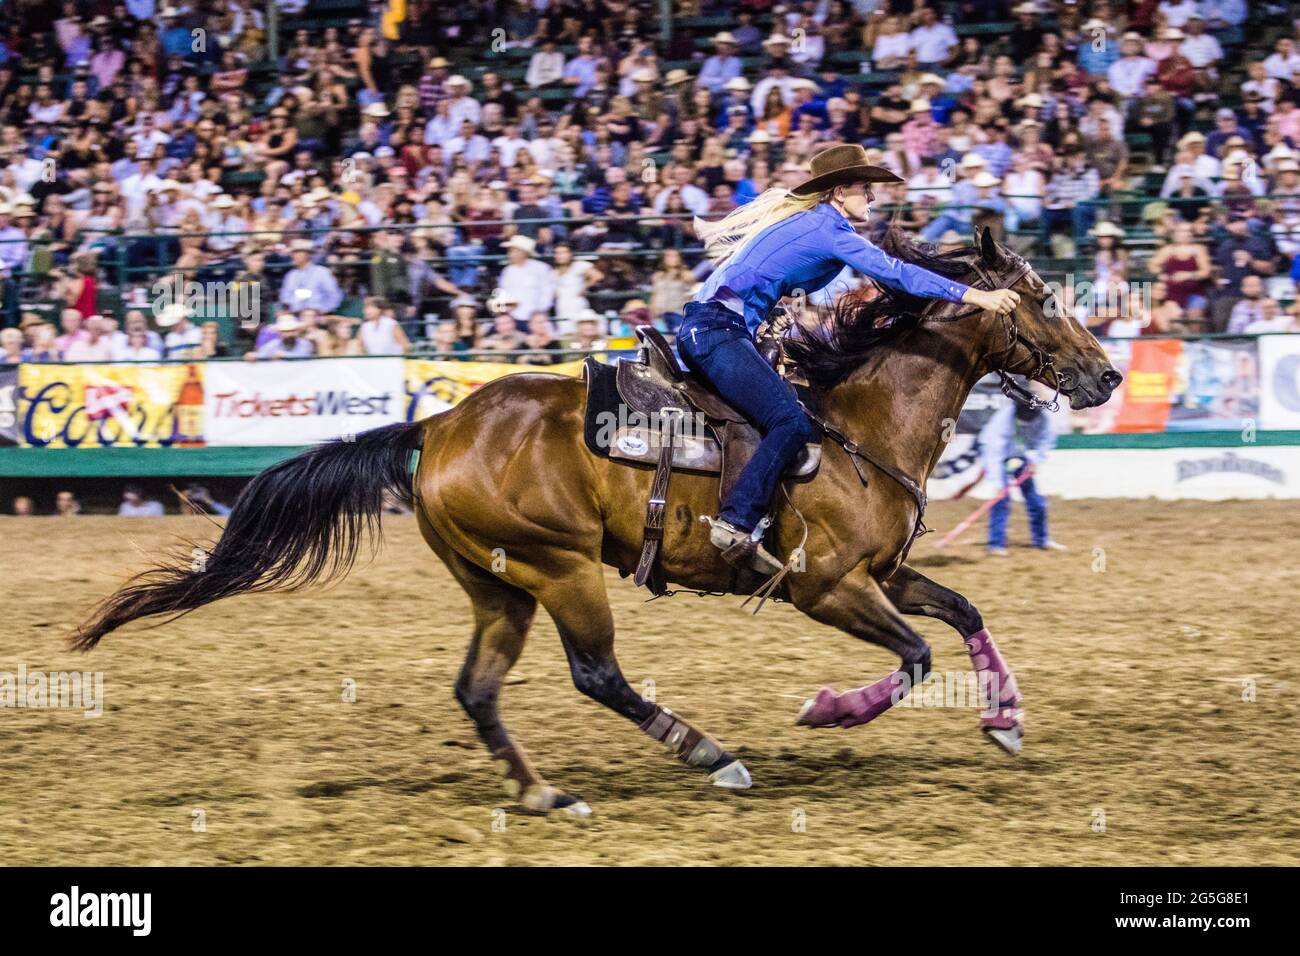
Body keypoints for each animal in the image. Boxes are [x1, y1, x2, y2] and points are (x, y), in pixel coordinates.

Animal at [71, 227, 1122, 817]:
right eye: (1040, 299)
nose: (1108, 374)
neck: (851, 425)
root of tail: (436, 424)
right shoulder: (827, 588)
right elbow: (914, 655)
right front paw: (826, 709)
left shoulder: (885, 574)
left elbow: (964, 614)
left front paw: (1007, 725)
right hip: (563, 569)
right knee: (599, 674)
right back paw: (714, 758)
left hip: (500, 583)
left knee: (477, 689)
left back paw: (545, 793)